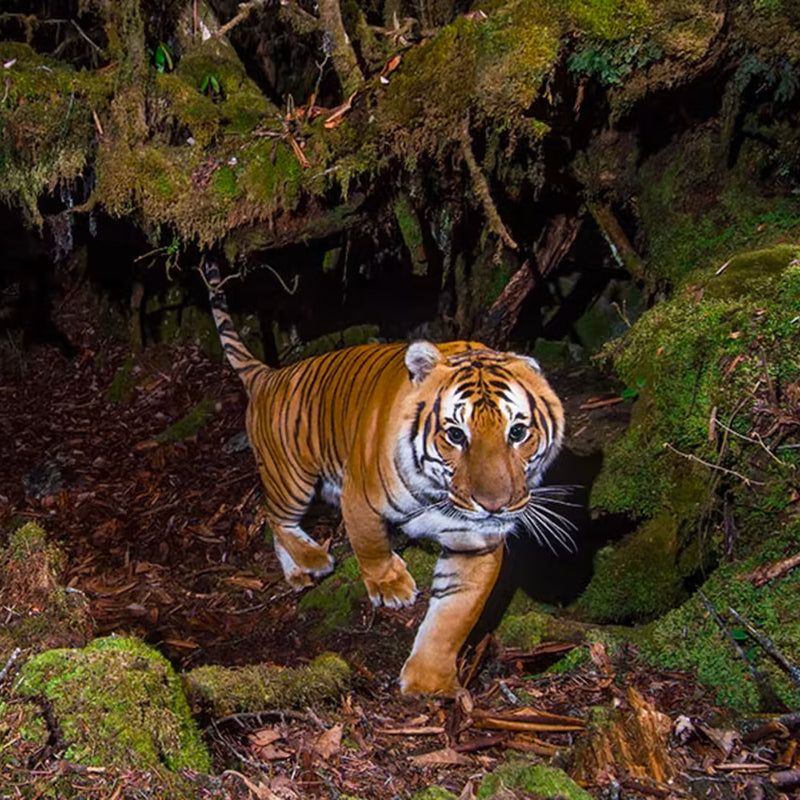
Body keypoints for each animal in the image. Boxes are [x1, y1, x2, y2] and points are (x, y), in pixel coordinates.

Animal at [201, 260, 568, 694]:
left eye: (518, 432)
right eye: (455, 435)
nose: (495, 506)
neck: (440, 493)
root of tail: (268, 375)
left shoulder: (476, 541)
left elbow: (455, 614)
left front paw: (428, 682)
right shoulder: (360, 497)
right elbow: (370, 545)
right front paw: (391, 587)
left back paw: (298, 572)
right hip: (293, 478)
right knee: (273, 514)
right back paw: (313, 557)